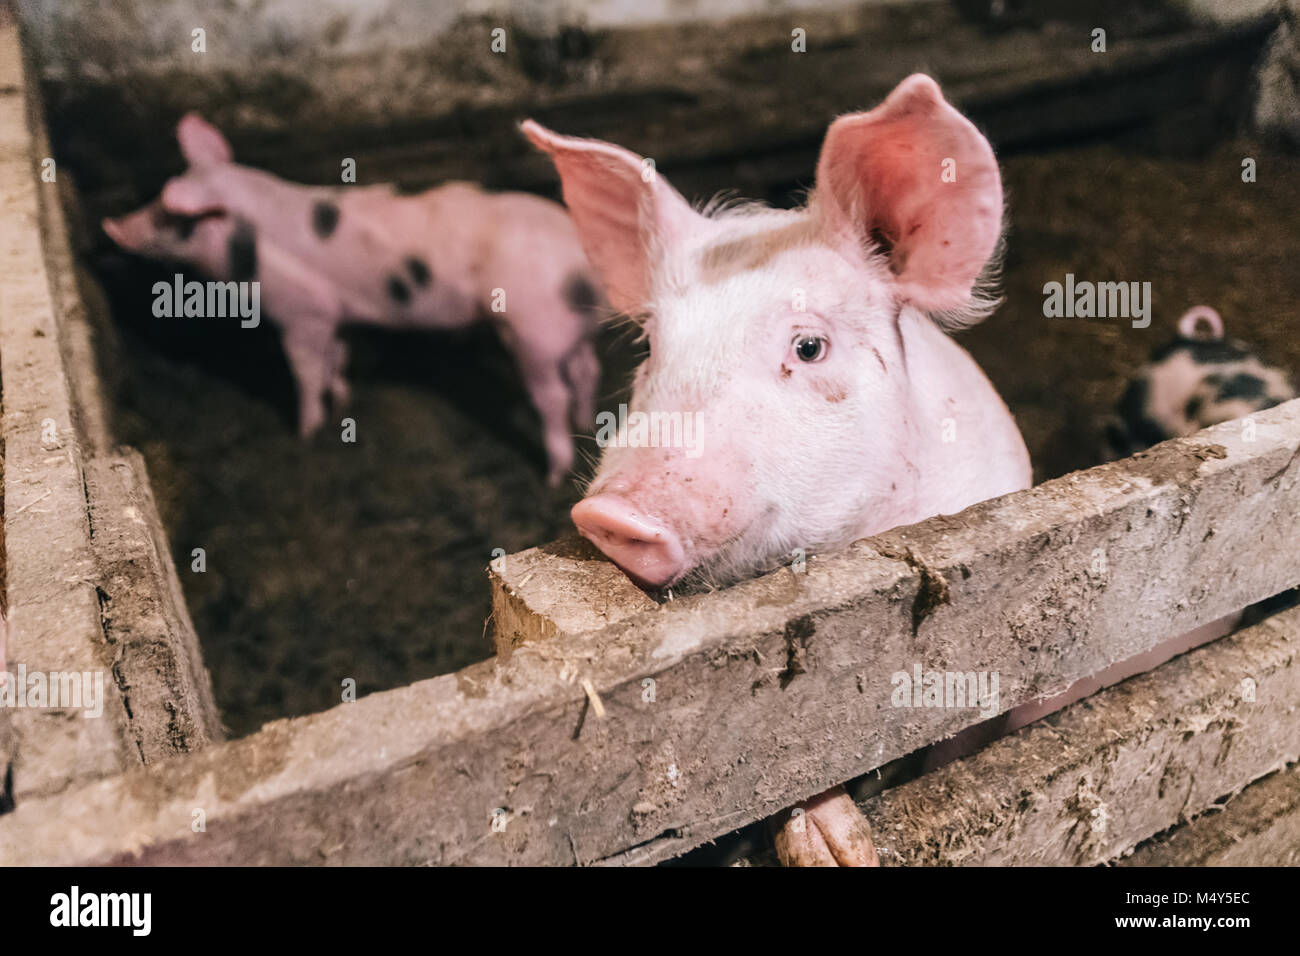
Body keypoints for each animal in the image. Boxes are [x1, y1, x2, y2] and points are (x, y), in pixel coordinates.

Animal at [103, 114, 603, 486]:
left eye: (172, 217)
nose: (111, 226)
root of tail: (580, 261)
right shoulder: (335, 314)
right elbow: (336, 355)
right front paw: (341, 397)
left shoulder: (302, 312)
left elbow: (305, 369)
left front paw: (305, 432)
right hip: (563, 330)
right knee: (586, 369)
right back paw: (585, 422)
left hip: (531, 331)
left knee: (553, 395)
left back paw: (553, 475)